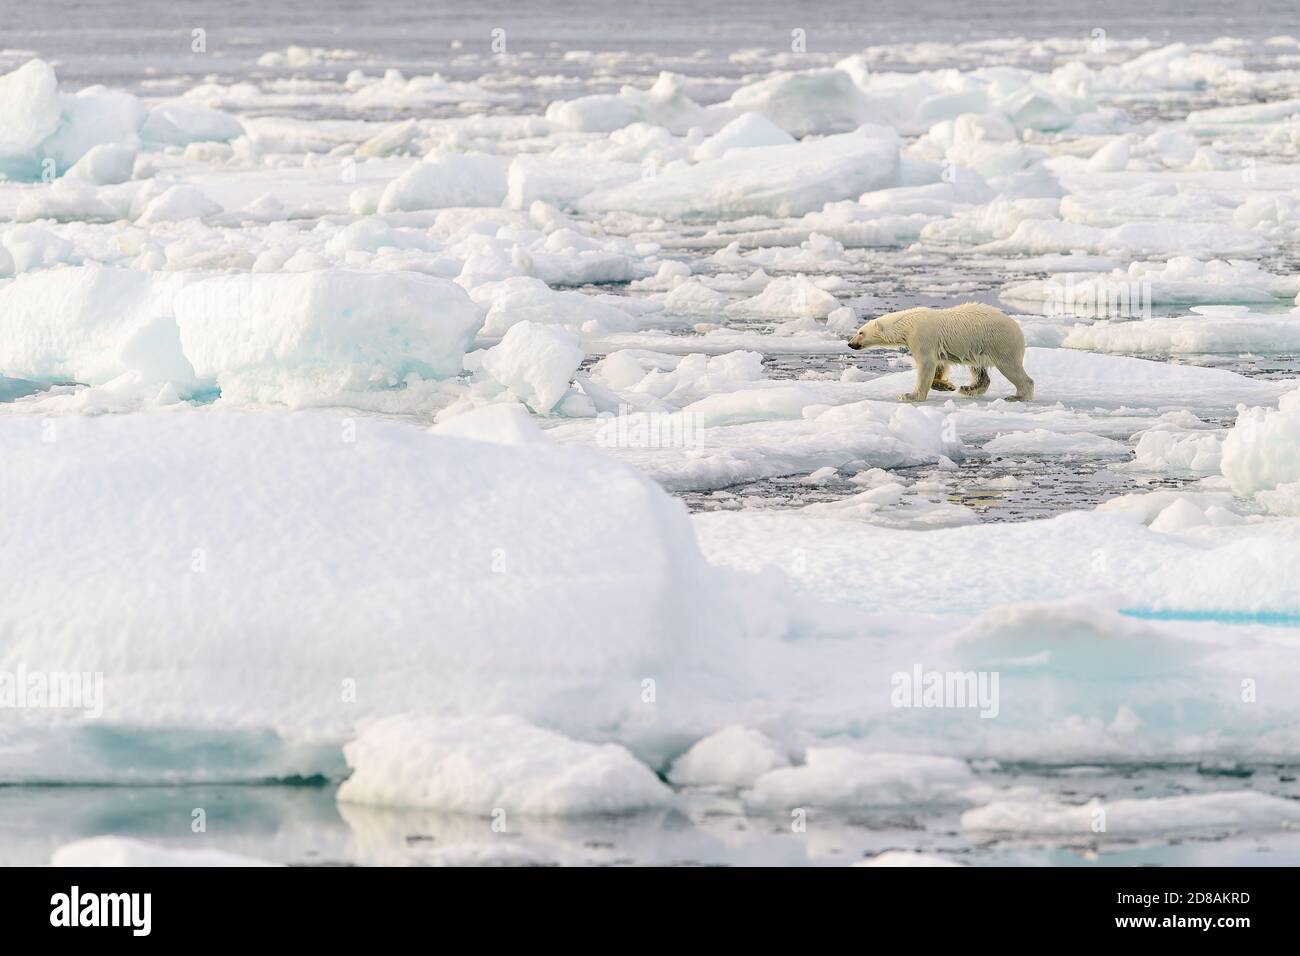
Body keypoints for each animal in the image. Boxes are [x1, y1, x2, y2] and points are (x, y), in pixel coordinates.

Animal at [847, 303, 1034, 403]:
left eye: (861, 332)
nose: (850, 344)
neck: (908, 323)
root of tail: (1018, 330)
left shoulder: (922, 337)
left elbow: (926, 365)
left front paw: (910, 396)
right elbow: (939, 365)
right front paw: (947, 385)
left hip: (999, 342)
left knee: (1011, 367)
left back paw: (1017, 396)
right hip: (979, 346)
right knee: (979, 370)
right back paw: (968, 388)